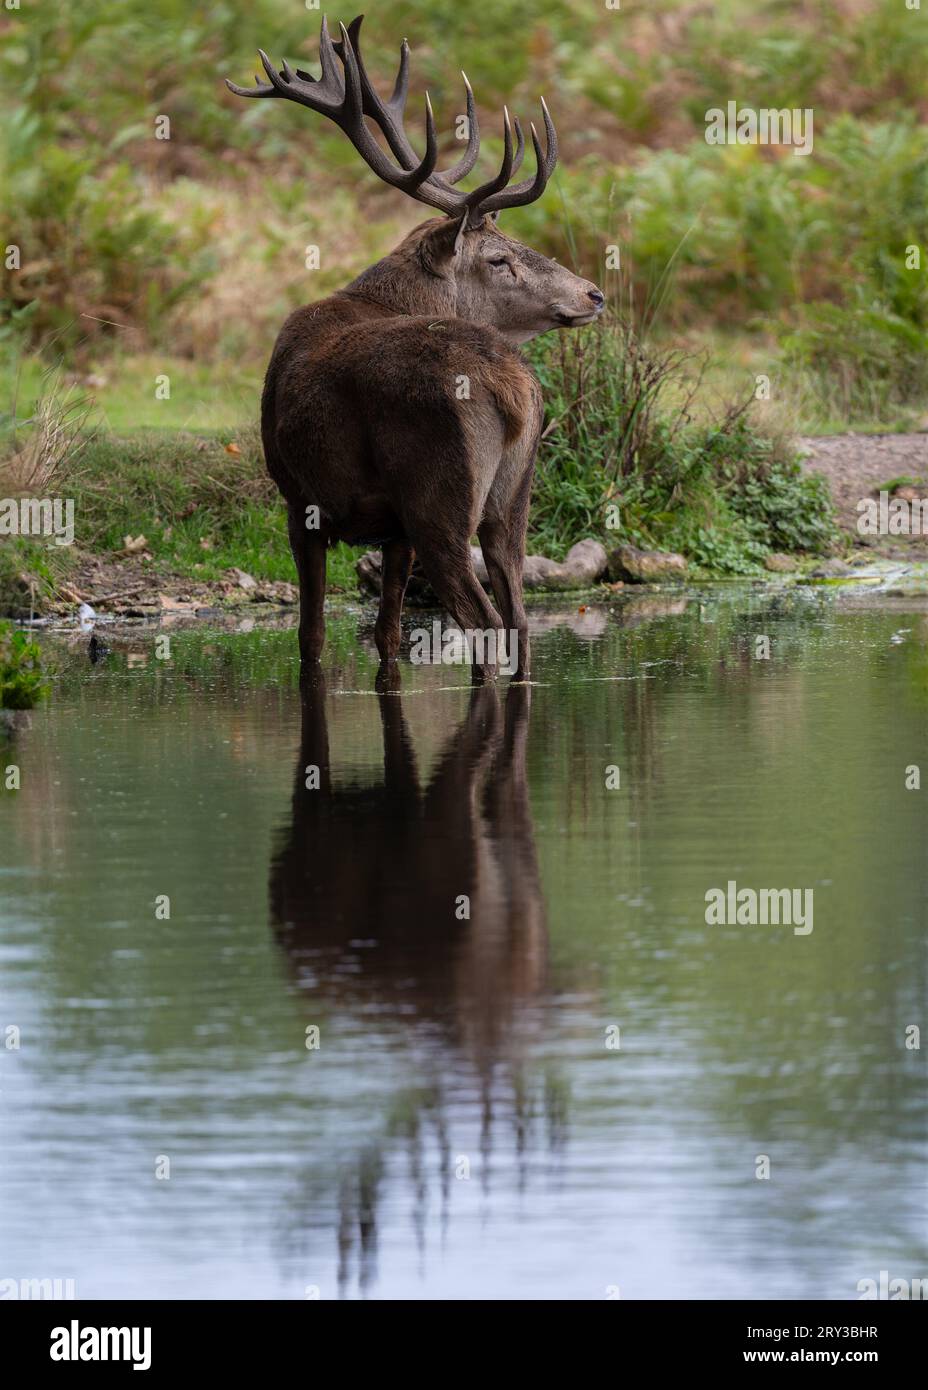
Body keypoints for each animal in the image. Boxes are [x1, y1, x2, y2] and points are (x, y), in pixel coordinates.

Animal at [227, 15, 604, 683]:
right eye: (500, 257)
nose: (594, 292)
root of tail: (514, 390)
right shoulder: (393, 527)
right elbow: (387, 632)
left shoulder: (301, 499)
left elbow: (312, 635)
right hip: (512, 501)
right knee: (519, 618)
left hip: (440, 499)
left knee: (486, 621)